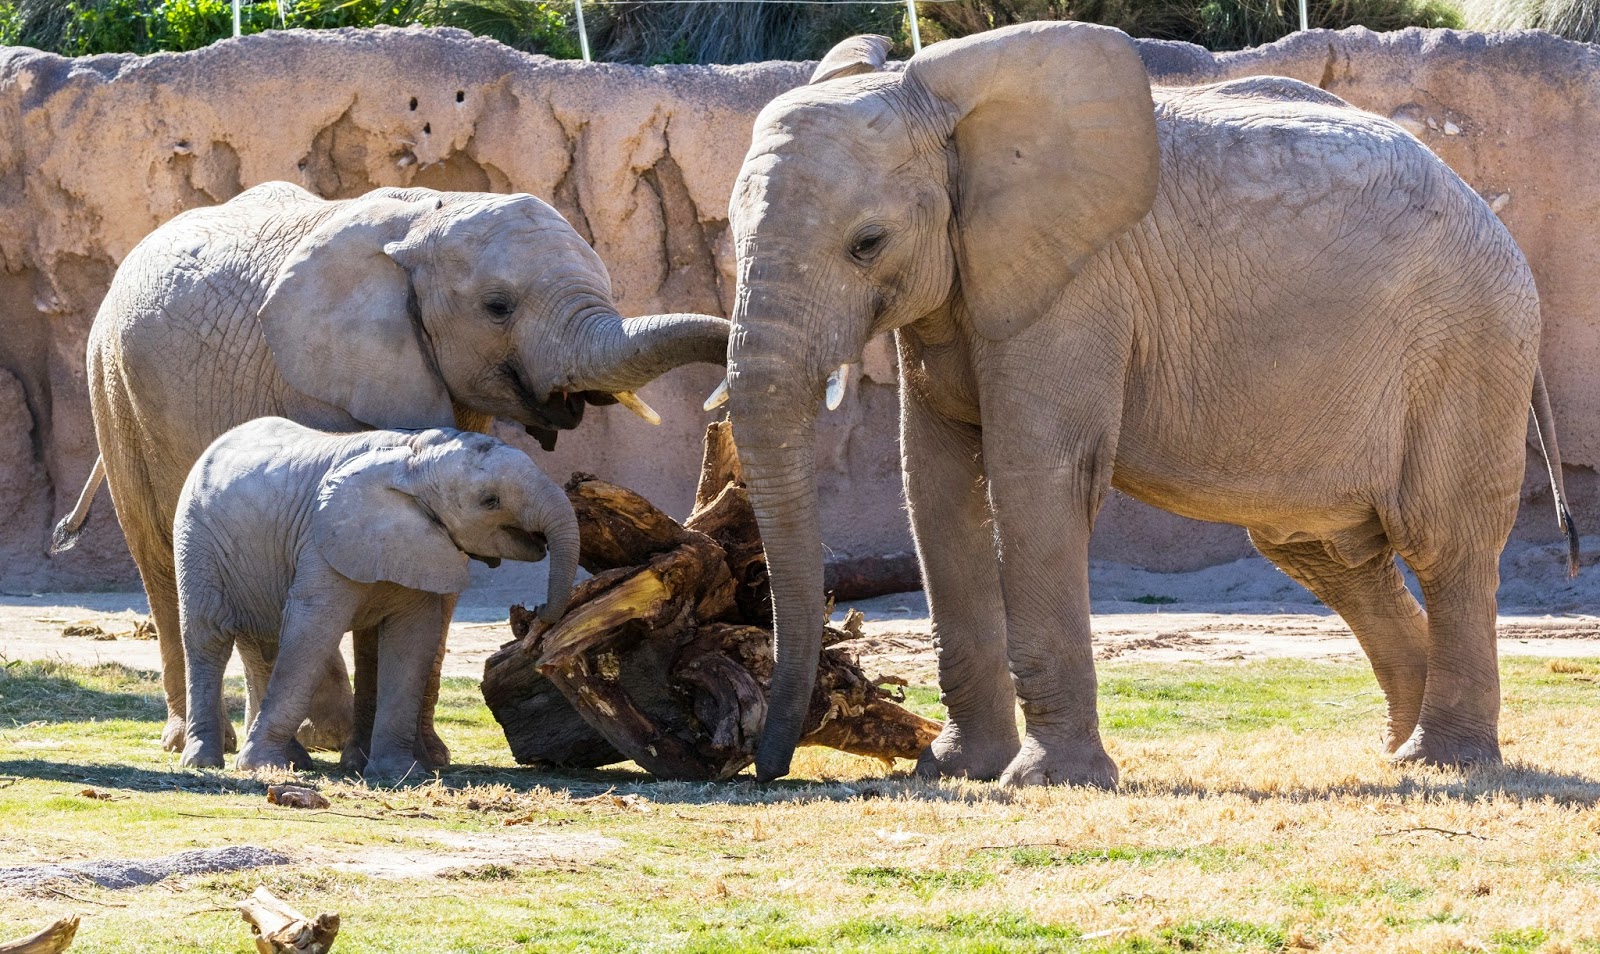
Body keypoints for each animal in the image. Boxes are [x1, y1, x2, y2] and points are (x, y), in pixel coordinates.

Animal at [176, 419, 578, 777]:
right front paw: (261, 767)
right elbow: (313, 630)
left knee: (263, 645)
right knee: (209, 636)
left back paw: (296, 762)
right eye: (490, 501)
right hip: (196, 539)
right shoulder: (323, 541)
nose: (537, 612)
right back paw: (205, 761)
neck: (415, 460)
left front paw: (401, 773)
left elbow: (412, 640)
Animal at [715, 22, 1579, 786]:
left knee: (1443, 543)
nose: (765, 765)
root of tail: (1495, 221)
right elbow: (934, 487)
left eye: (867, 243)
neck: (954, 111)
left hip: (1468, 345)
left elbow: (1036, 477)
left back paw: (1443, 762)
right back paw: (1397, 754)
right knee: (1326, 553)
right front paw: (955, 771)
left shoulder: (1081, 284)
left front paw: (1049, 781)